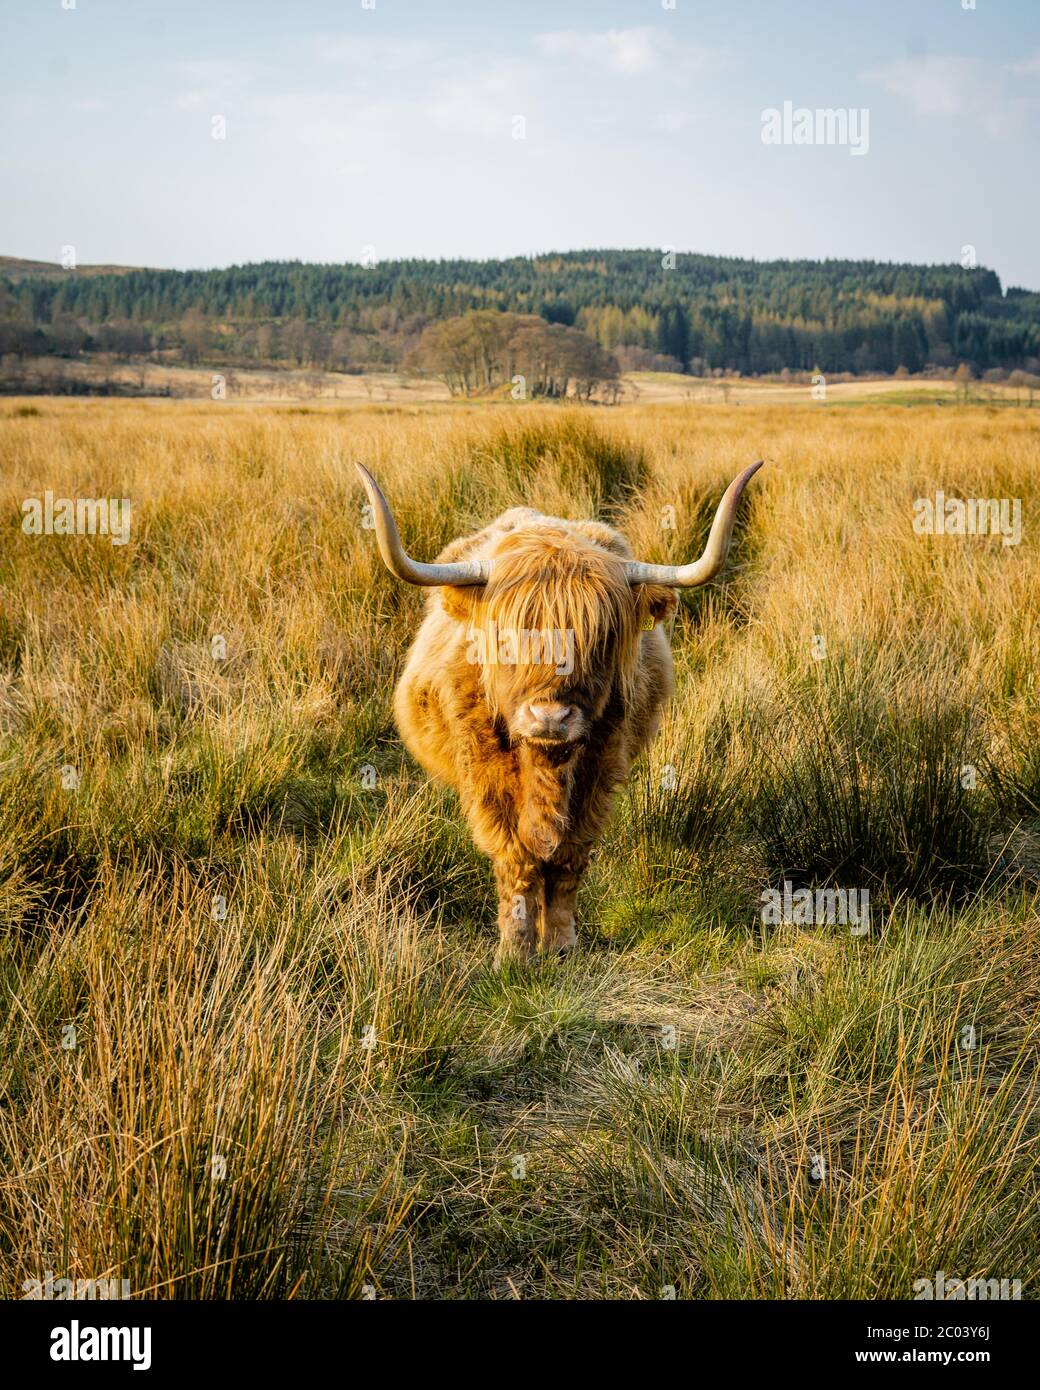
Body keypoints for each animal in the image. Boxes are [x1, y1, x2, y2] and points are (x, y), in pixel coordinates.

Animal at [356, 459, 763, 968]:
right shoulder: (487, 780)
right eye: (506, 636)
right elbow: (518, 861)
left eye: (601, 637)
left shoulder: (600, 769)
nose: (550, 718)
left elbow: (569, 858)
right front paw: (514, 953)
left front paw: (562, 945)